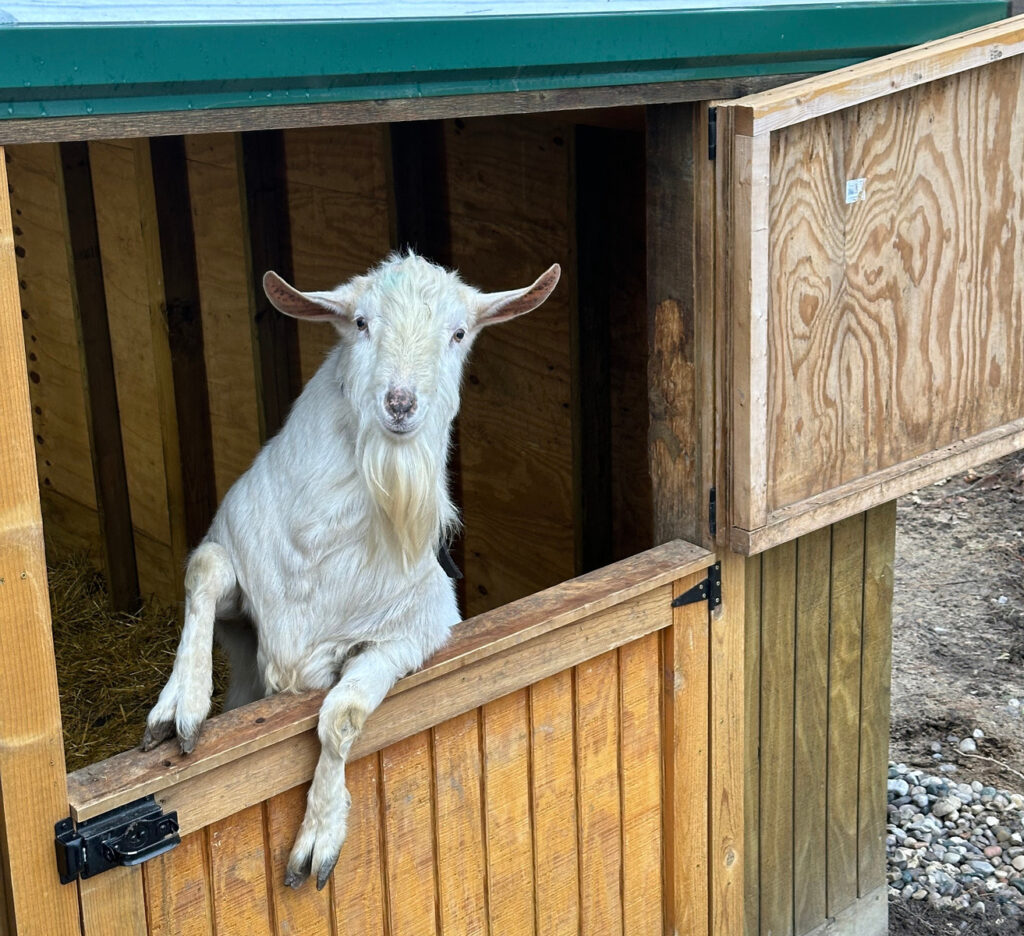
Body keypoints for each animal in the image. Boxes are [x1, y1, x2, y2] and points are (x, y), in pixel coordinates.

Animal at [142, 252, 560, 889]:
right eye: (360, 323)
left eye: (458, 333)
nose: (400, 403)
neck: (322, 548)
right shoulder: (241, 580)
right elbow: (205, 568)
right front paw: (178, 707)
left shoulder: (409, 633)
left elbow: (341, 715)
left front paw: (318, 837)